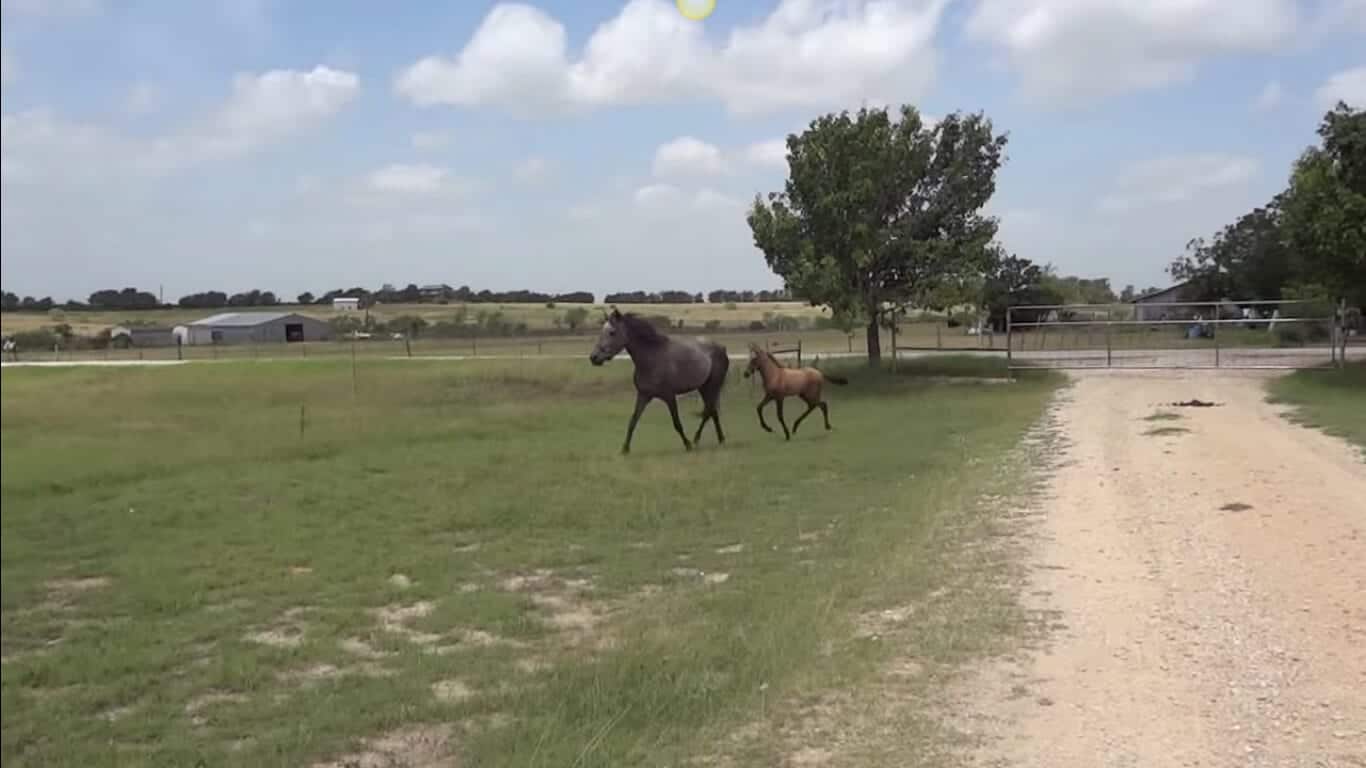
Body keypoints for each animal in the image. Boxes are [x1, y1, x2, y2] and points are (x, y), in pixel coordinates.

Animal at [589, 309, 730, 455]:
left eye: (612, 332)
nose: (594, 358)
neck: (652, 359)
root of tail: (722, 347)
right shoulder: (643, 396)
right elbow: (633, 421)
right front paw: (624, 449)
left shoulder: (669, 396)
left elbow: (677, 423)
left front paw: (687, 445)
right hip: (703, 387)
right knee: (712, 411)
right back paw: (719, 439)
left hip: (713, 385)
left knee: (709, 410)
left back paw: (697, 440)